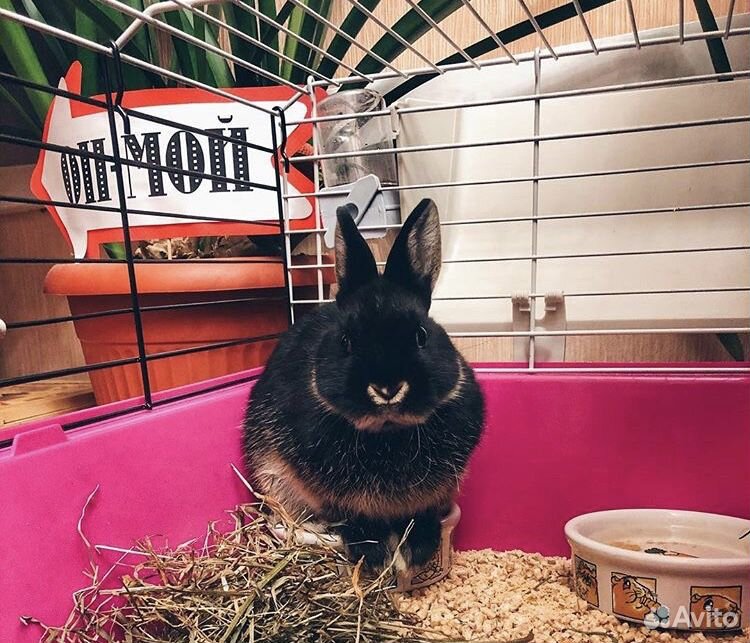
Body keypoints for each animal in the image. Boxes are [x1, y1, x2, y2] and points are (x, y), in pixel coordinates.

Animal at [243, 198, 485, 571]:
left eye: (421, 335)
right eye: (346, 341)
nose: (386, 388)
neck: (388, 434)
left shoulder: (436, 494)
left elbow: (422, 516)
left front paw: (417, 549)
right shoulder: (337, 497)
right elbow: (355, 520)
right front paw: (372, 552)